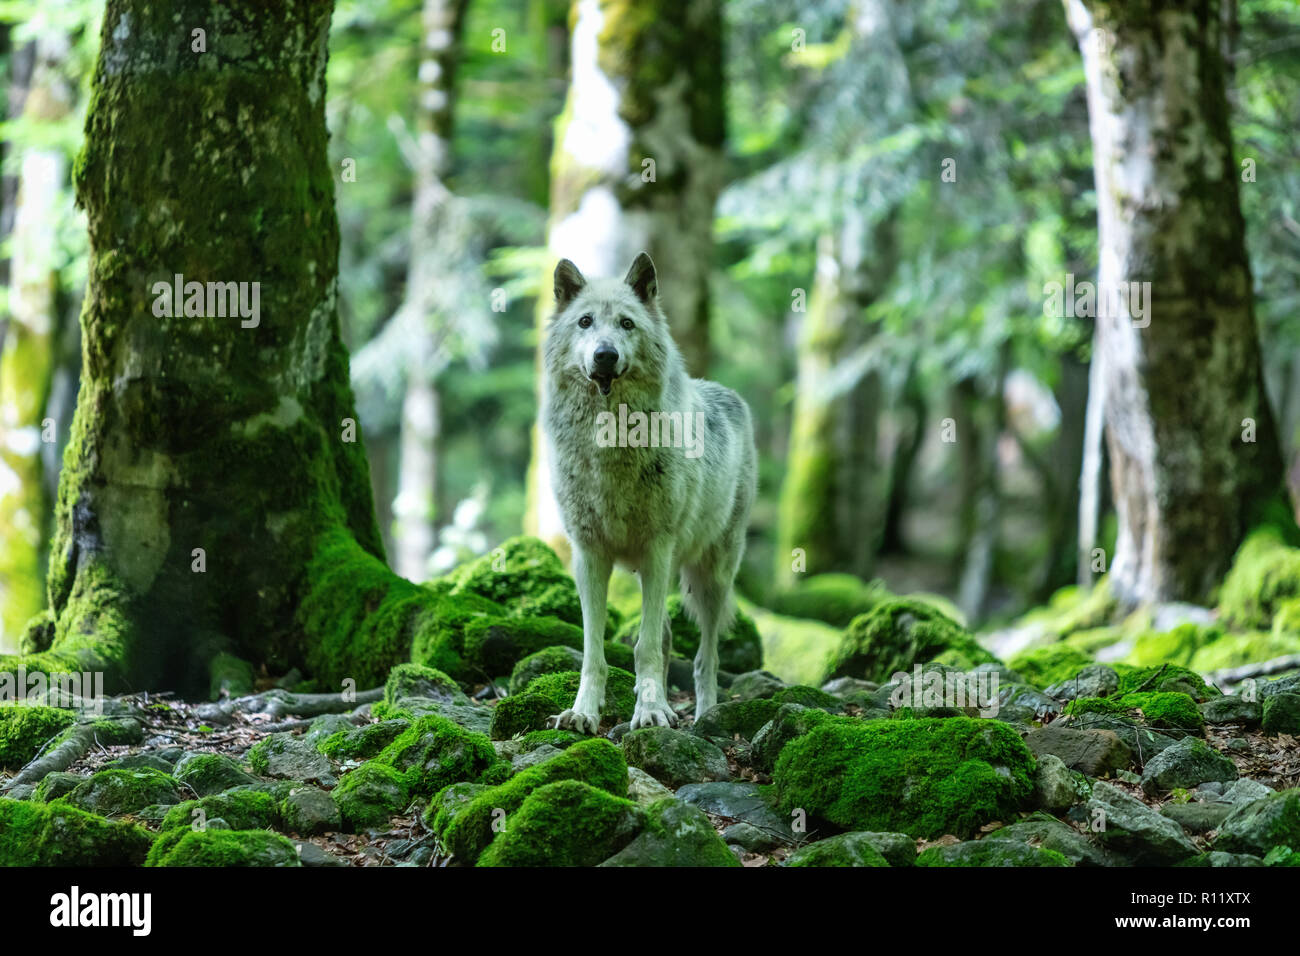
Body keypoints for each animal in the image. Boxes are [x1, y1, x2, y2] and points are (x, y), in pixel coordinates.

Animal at [542, 253, 757, 732]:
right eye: (585, 321)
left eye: (626, 324)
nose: (605, 355)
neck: (610, 446)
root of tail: (728, 394)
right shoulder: (589, 555)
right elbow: (594, 651)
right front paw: (583, 712)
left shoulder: (657, 549)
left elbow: (644, 648)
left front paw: (652, 712)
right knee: (666, 637)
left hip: (711, 576)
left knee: (704, 657)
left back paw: (705, 715)